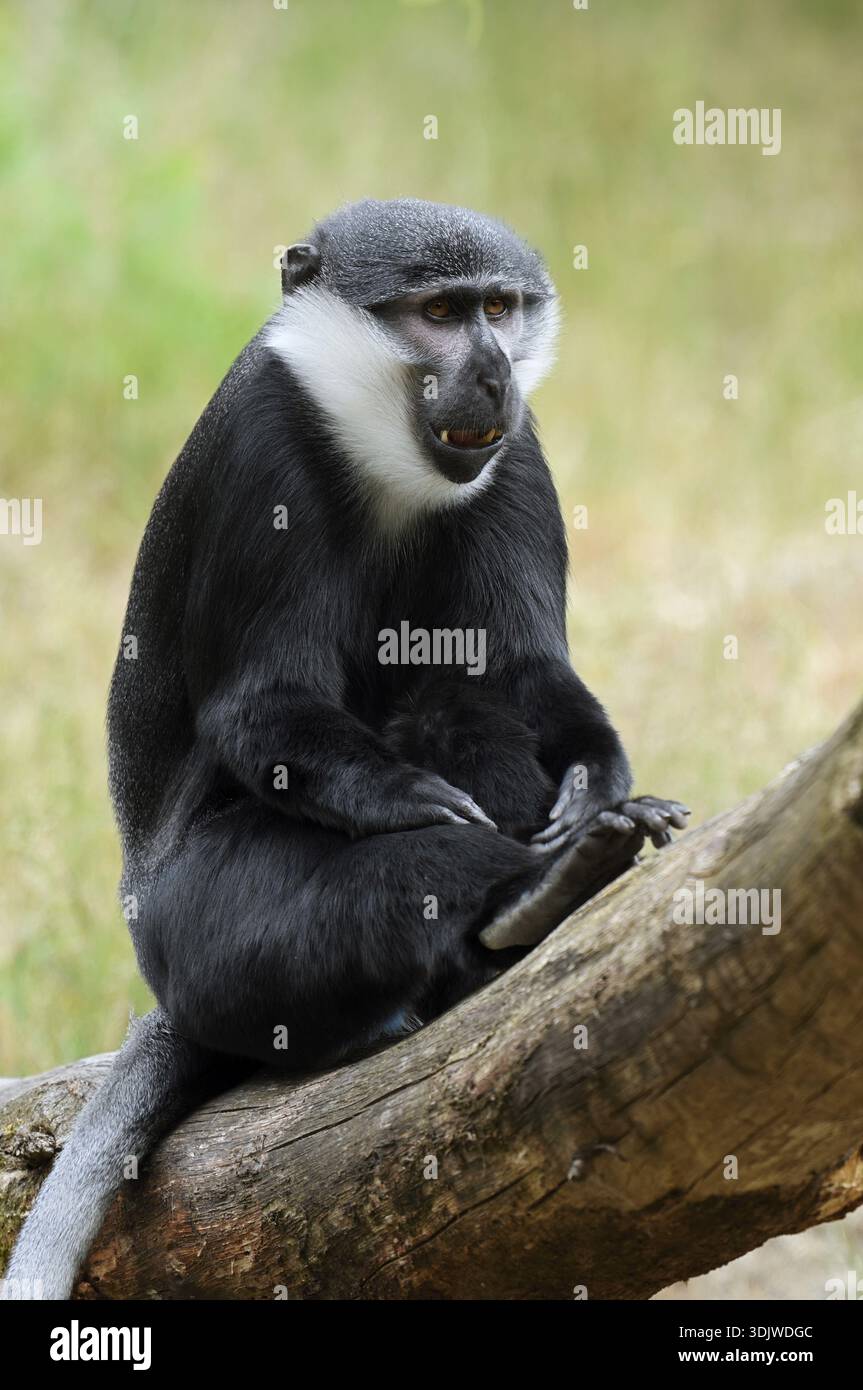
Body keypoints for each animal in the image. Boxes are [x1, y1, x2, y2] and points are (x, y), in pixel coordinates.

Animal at [2, 199, 688, 1299]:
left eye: (499, 308)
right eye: (439, 313)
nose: (492, 370)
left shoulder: (513, 450)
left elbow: (525, 668)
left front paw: (602, 780)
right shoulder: (265, 445)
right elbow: (264, 704)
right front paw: (424, 804)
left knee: (460, 692)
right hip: (192, 944)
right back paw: (518, 891)